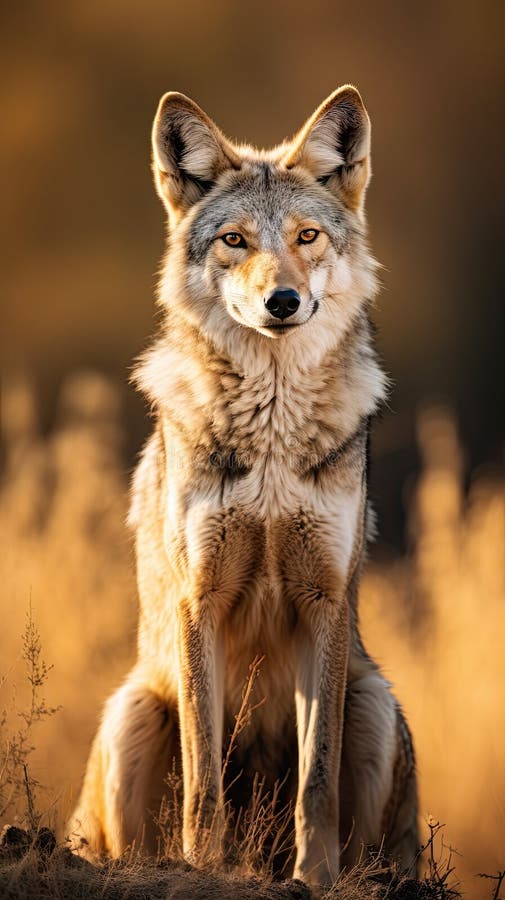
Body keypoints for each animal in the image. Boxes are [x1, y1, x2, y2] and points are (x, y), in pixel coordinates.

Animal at [69, 85, 418, 889]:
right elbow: (204, 780)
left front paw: (313, 879)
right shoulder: (200, 603)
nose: (282, 301)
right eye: (233, 241)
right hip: (132, 710)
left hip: (374, 703)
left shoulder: (324, 600)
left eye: (306, 237)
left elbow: (316, 781)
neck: (271, 434)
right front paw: (204, 866)